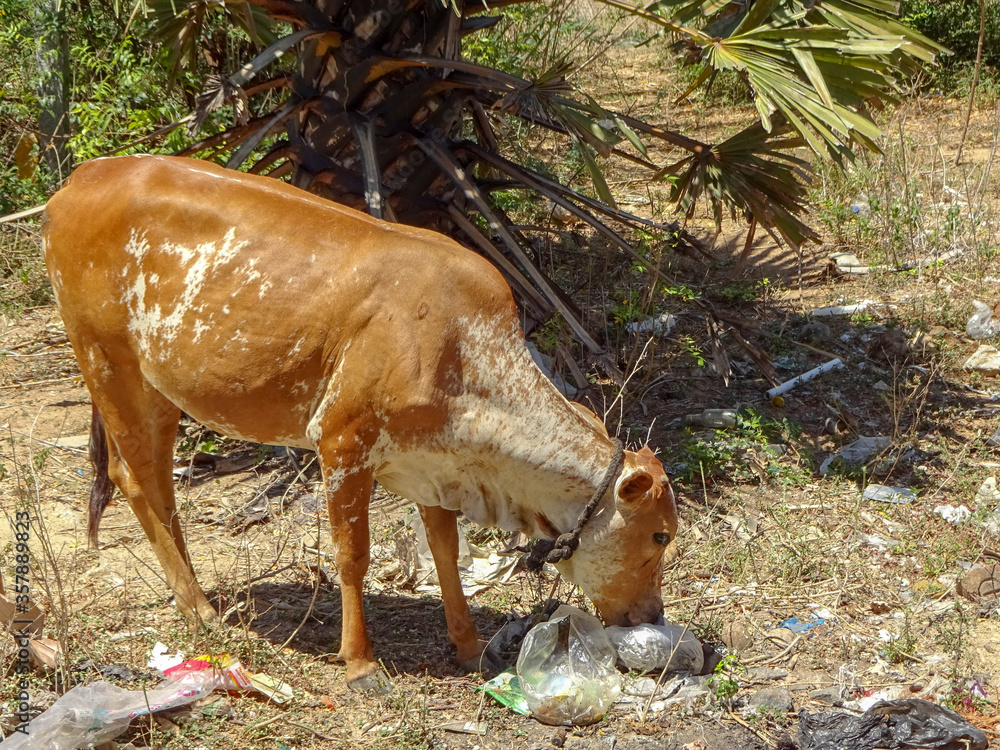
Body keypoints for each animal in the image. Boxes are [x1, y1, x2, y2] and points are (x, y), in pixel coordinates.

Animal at [42, 155, 678, 691]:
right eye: (660, 535)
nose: (653, 613)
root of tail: (83, 176)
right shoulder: (342, 443)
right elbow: (353, 557)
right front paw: (359, 662)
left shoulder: (434, 463)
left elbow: (445, 551)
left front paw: (469, 644)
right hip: (106, 361)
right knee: (134, 478)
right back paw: (198, 608)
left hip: (159, 386)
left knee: (162, 486)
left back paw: (195, 595)